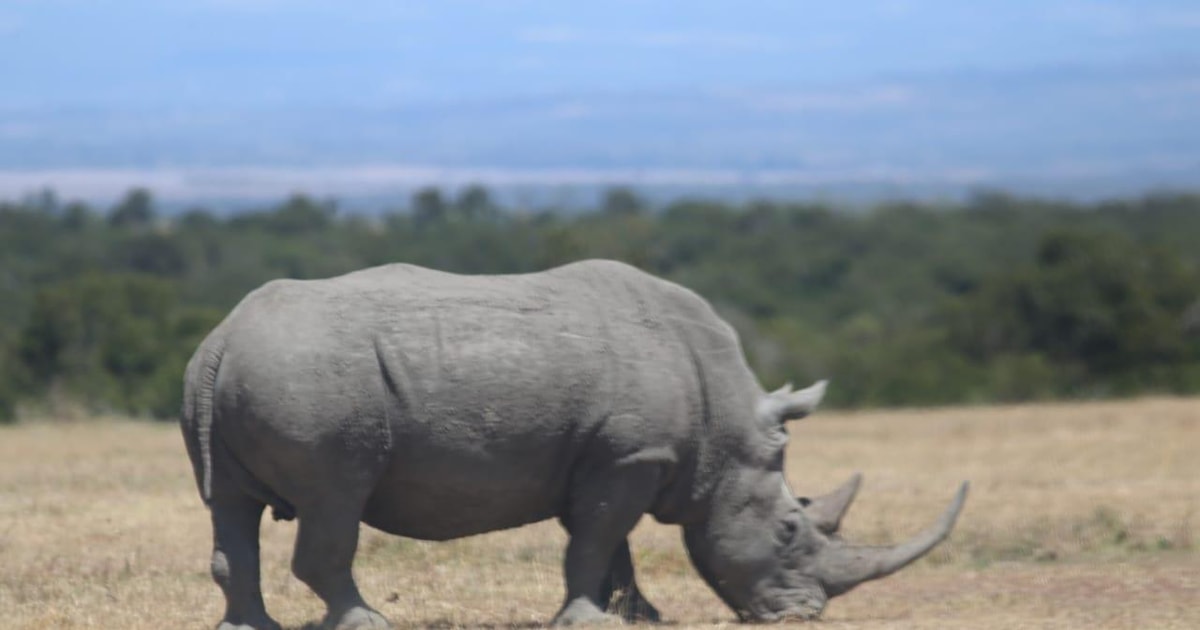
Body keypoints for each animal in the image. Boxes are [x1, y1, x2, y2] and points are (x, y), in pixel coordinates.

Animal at [181, 259, 967, 629]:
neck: (725, 425)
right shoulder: (629, 456)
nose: (806, 614)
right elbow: (594, 538)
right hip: (316, 385)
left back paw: (250, 628)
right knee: (336, 499)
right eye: (789, 530)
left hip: (244, 379)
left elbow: (611, 542)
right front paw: (594, 620)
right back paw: (367, 622)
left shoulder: (617, 457)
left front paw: (637, 616)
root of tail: (221, 341)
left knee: (231, 506)